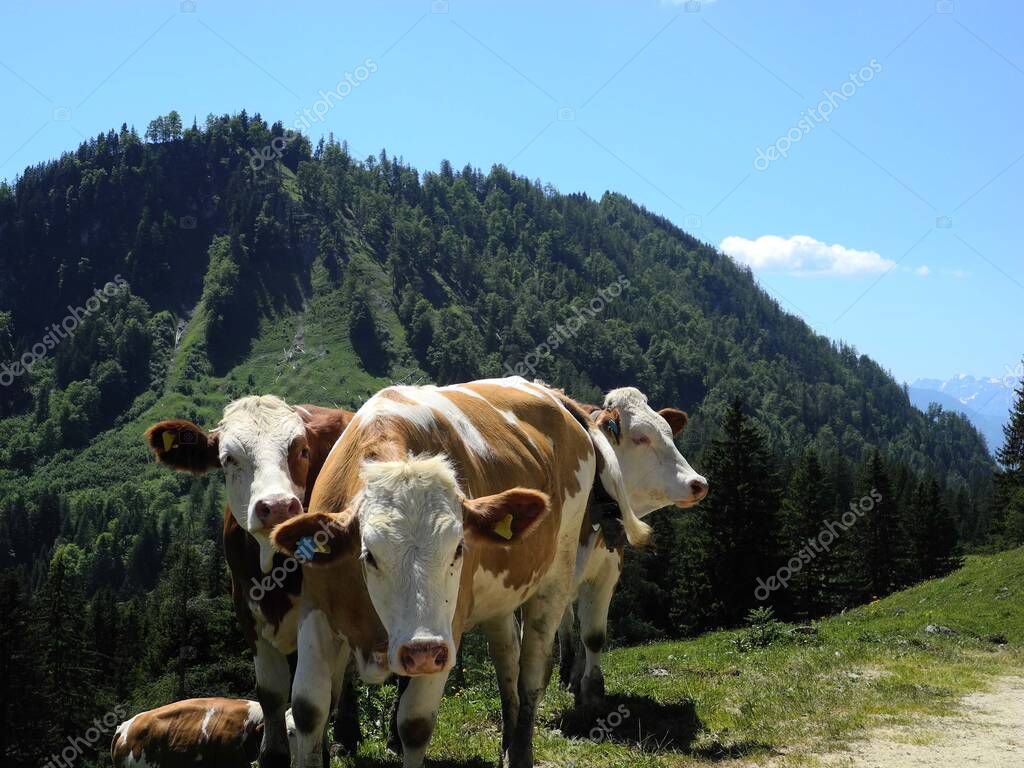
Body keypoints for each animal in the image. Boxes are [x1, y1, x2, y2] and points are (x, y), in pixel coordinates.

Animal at [144, 396, 356, 768]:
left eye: (301, 450)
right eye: (228, 459)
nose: (278, 507)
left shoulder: (321, 615)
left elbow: (309, 702)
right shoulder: (245, 611)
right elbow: (271, 694)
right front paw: (273, 755)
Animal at [271, 376, 652, 768]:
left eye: (458, 548)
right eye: (368, 554)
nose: (422, 650)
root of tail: (553, 395)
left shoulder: (447, 631)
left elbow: (414, 725)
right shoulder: (317, 610)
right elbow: (308, 710)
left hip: (555, 579)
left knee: (532, 673)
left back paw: (521, 751)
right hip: (499, 600)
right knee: (507, 663)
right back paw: (508, 741)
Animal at [558, 386, 708, 707]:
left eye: (669, 433)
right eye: (640, 437)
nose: (698, 483)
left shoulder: (607, 572)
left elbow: (593, 634)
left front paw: (591, 688)